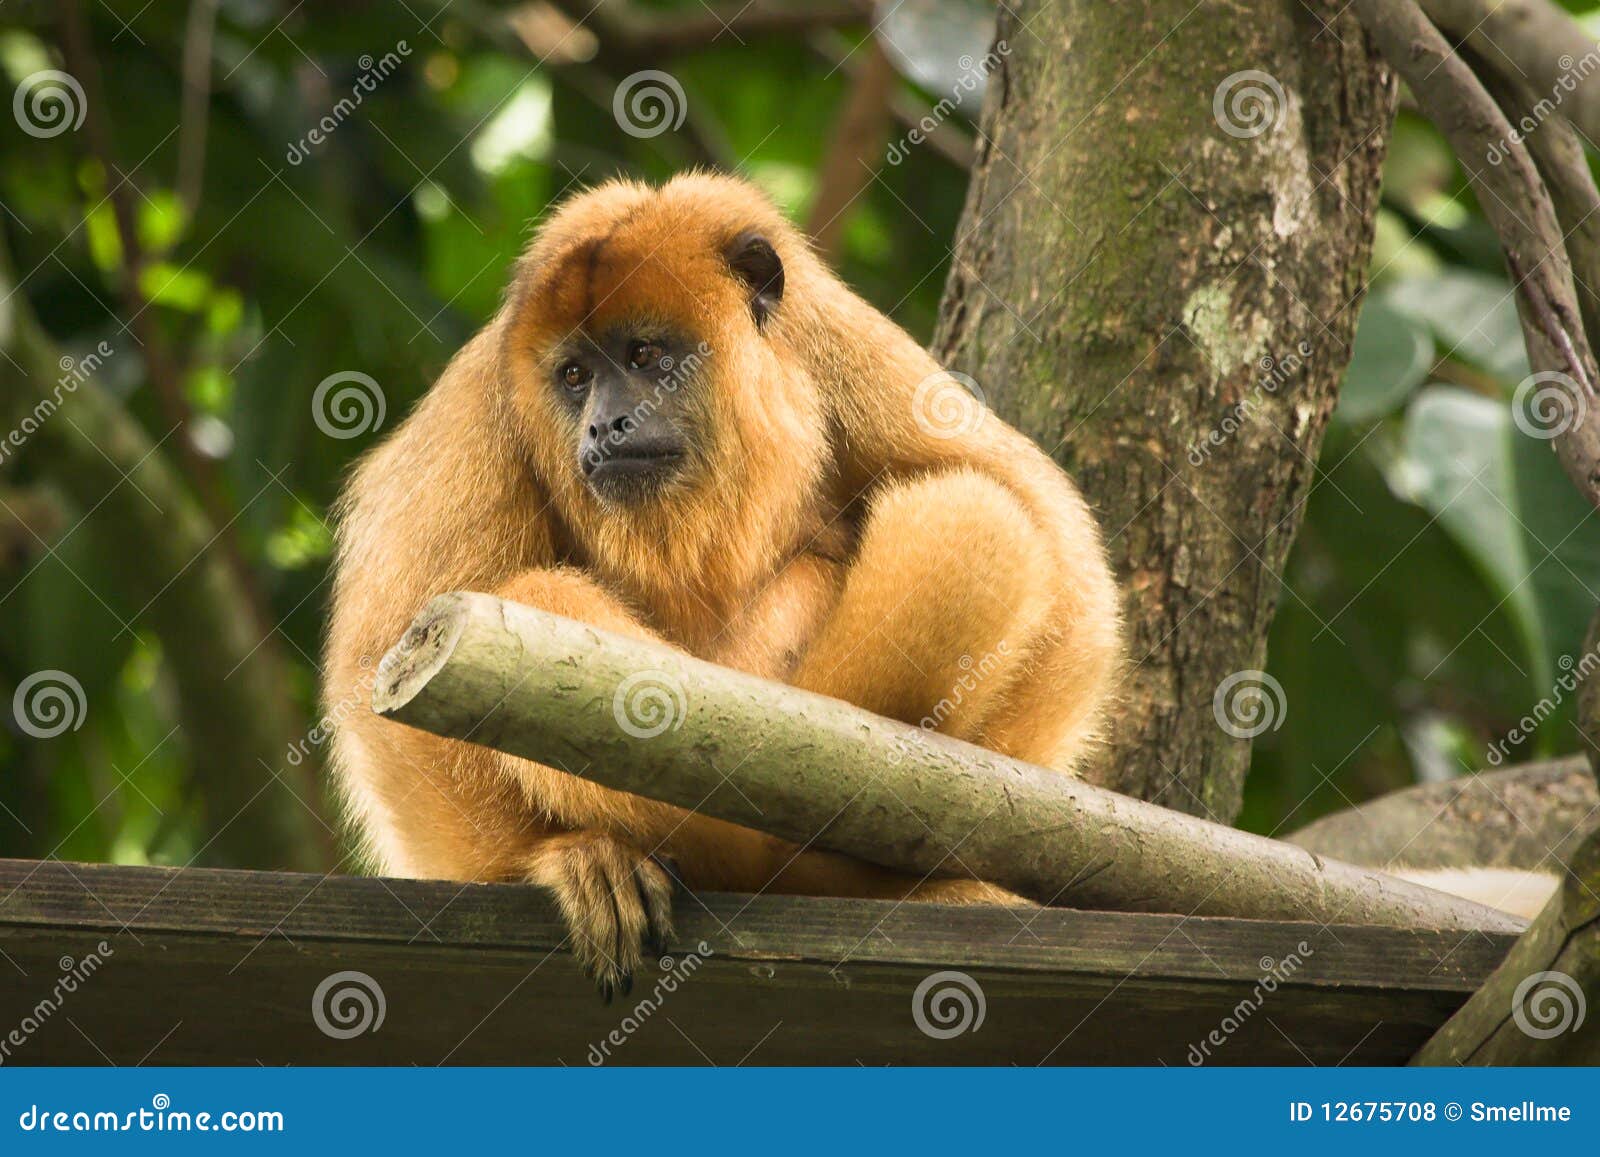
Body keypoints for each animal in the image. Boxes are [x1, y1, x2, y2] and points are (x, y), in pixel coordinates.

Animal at [324, 171, 1123, 996]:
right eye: (575, 376)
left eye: (644, 354)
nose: (603, 425)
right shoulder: (483, 400)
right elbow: (386, 648)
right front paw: (560, 857)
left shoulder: (830, 338)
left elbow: (1047, 532)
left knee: (977, 512)